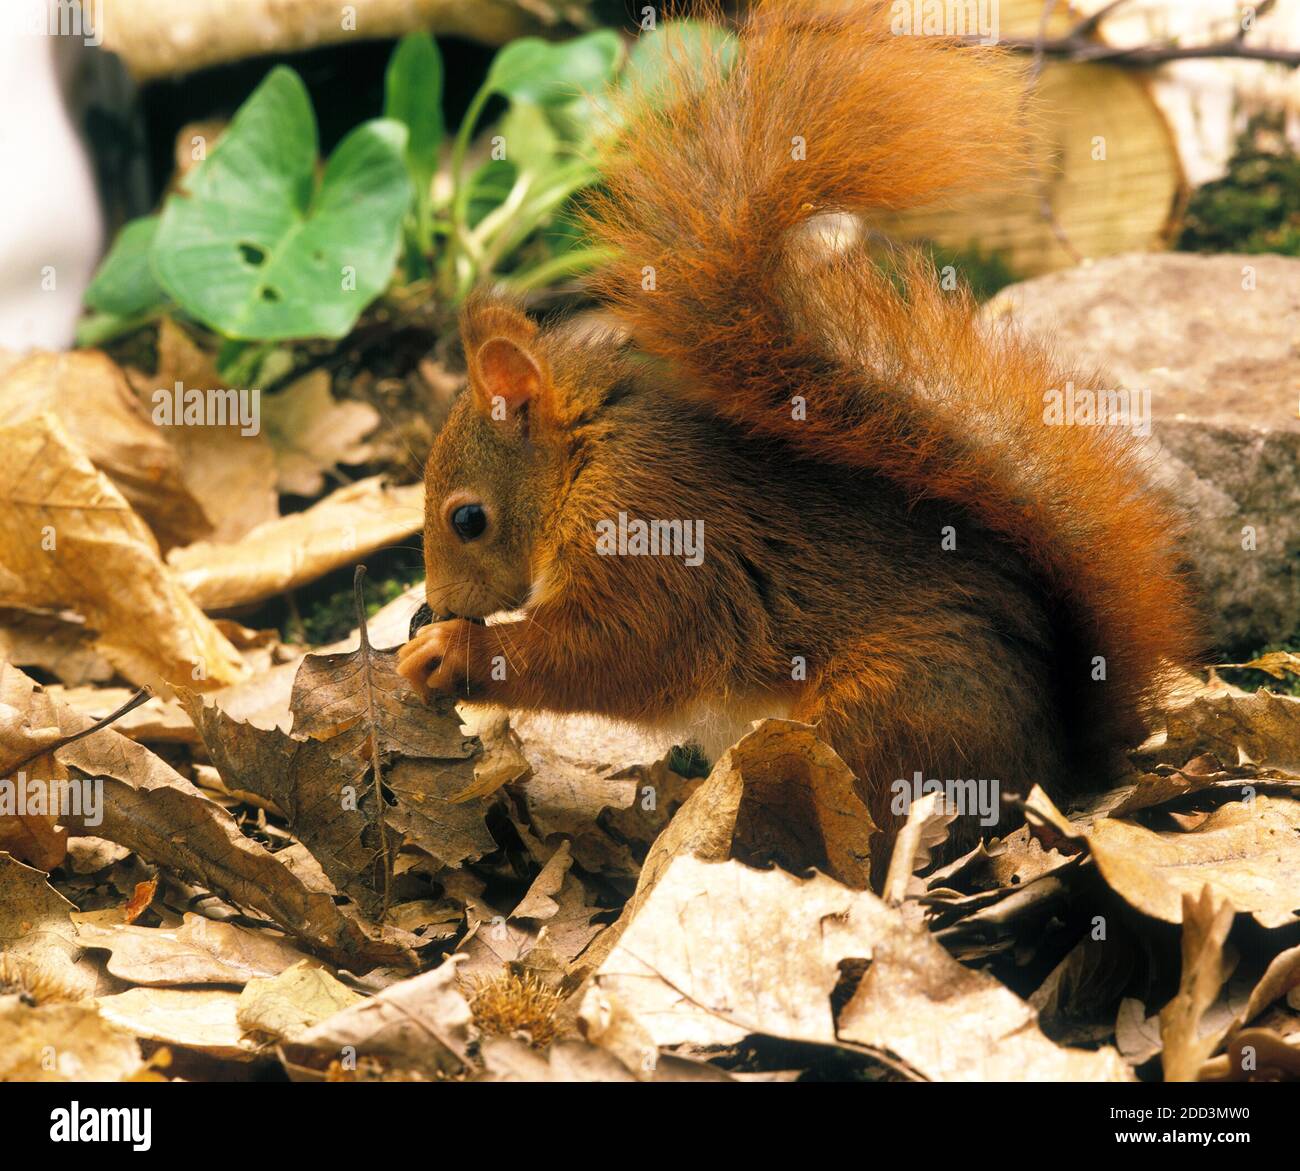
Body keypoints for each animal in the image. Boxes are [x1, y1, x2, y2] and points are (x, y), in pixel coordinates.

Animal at [397, 1, 1199, 858]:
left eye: (468, 518)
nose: (437, 605)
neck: (586, 457)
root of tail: (1058, 764)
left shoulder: (652, 540)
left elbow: (617, 656)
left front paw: (455, 653)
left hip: (880, 714)